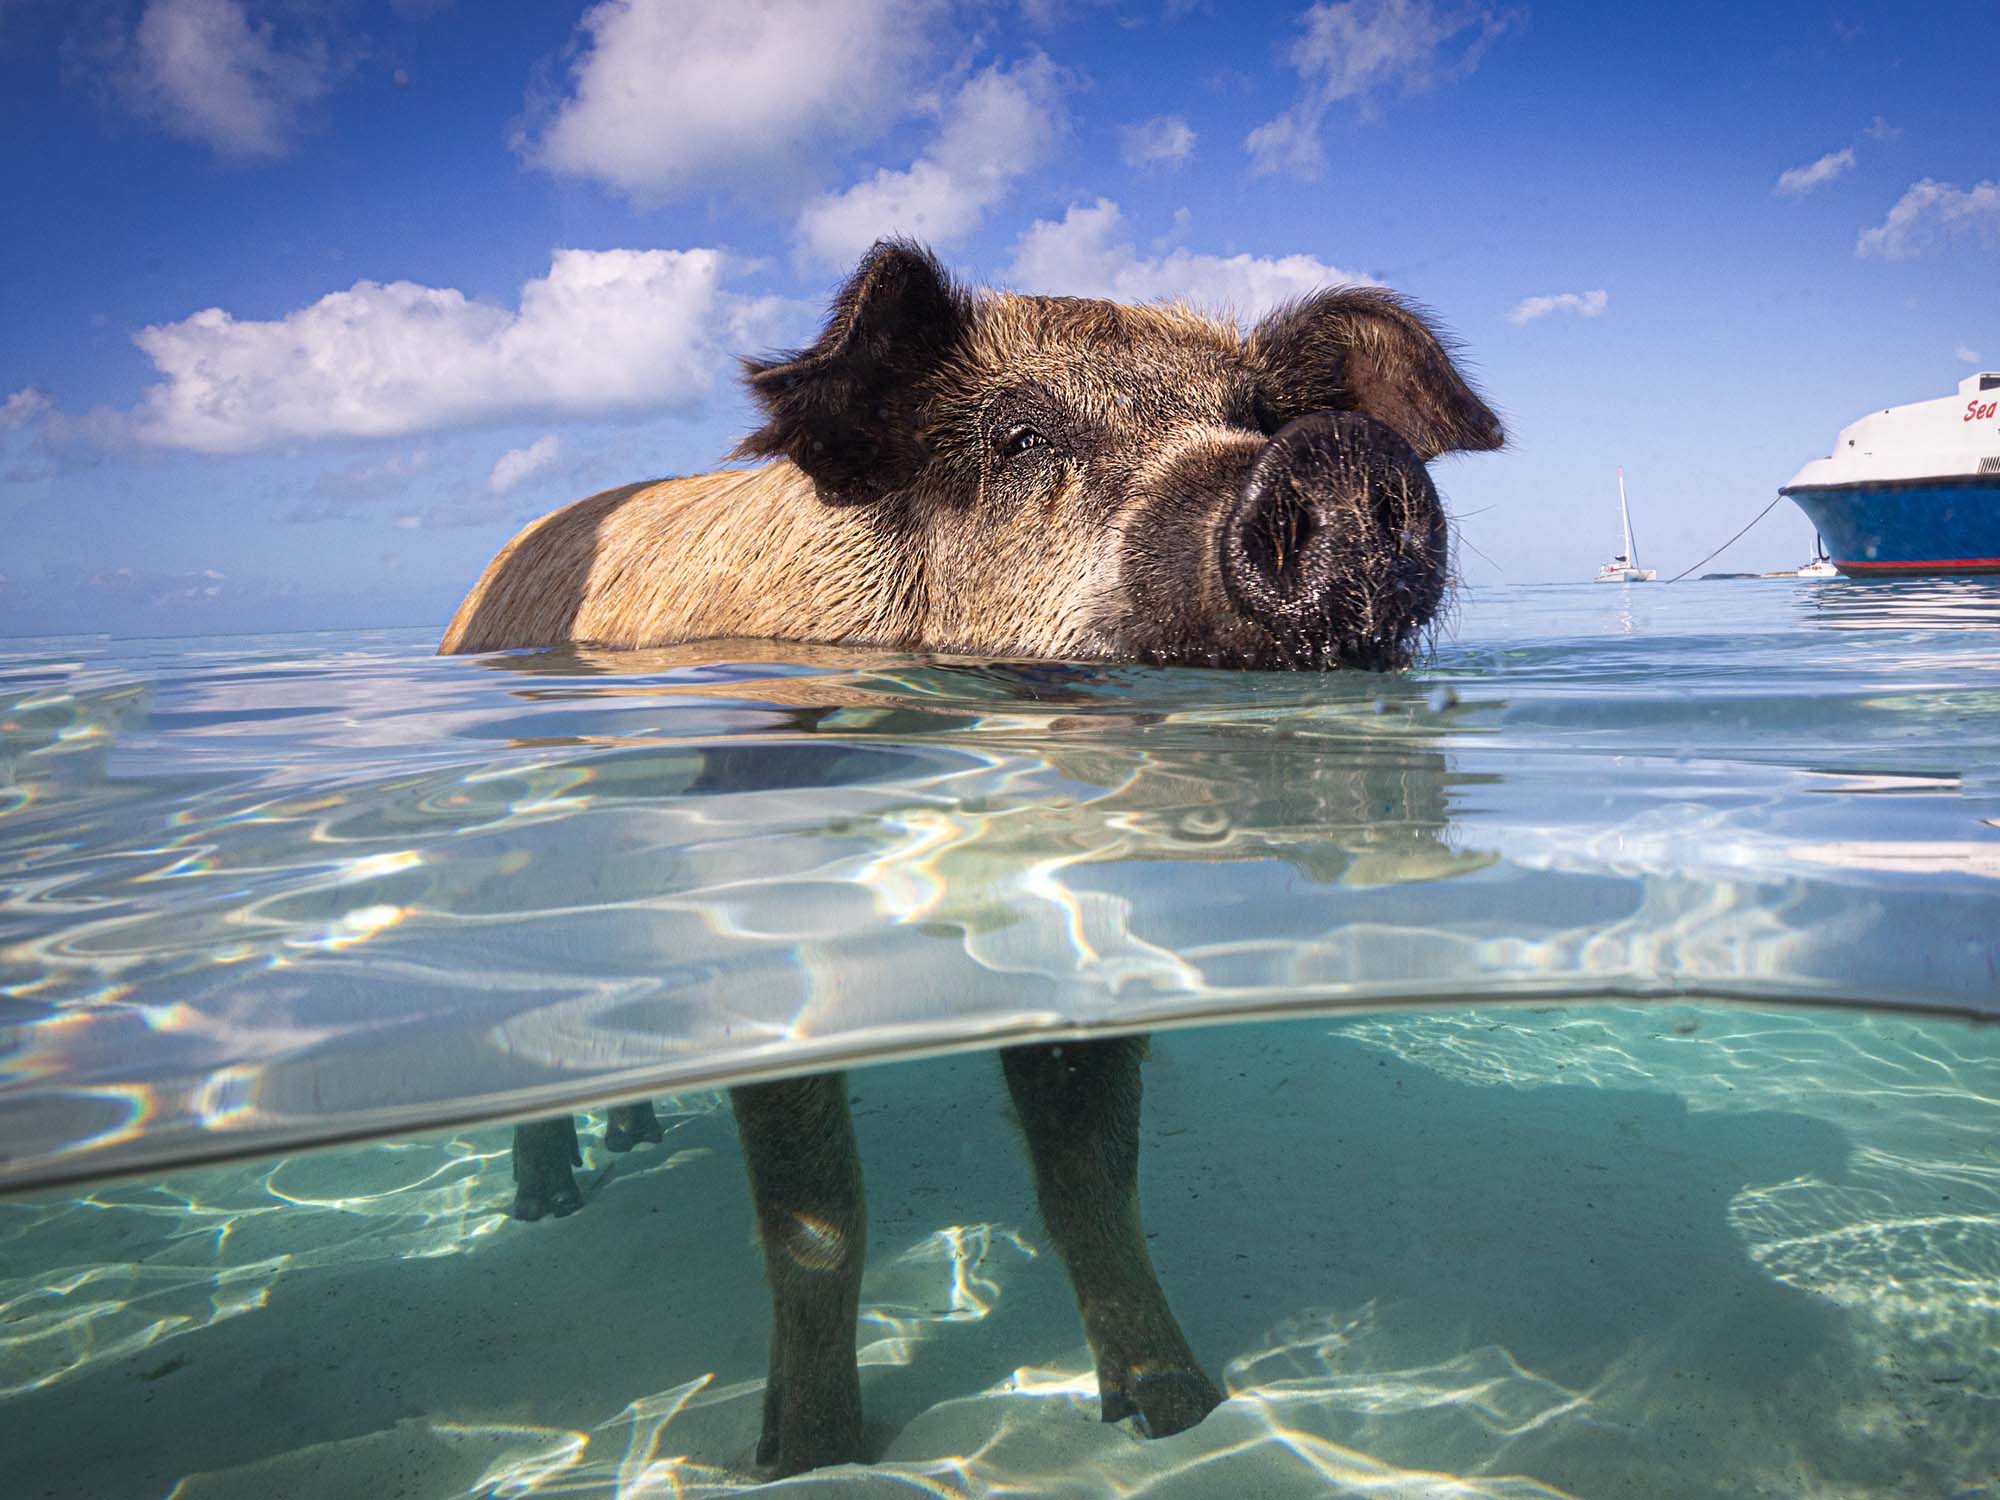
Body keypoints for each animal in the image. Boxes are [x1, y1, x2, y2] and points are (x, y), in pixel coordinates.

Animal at [439, 240, 1502, 1475]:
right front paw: (807, 1459)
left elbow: (1091, 1185)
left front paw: (1177, 1412)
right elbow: (819, 1221)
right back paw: (550, 1205)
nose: (1332, 449)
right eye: (1019, 440)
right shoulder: (771, 942)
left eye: (1256, 416)